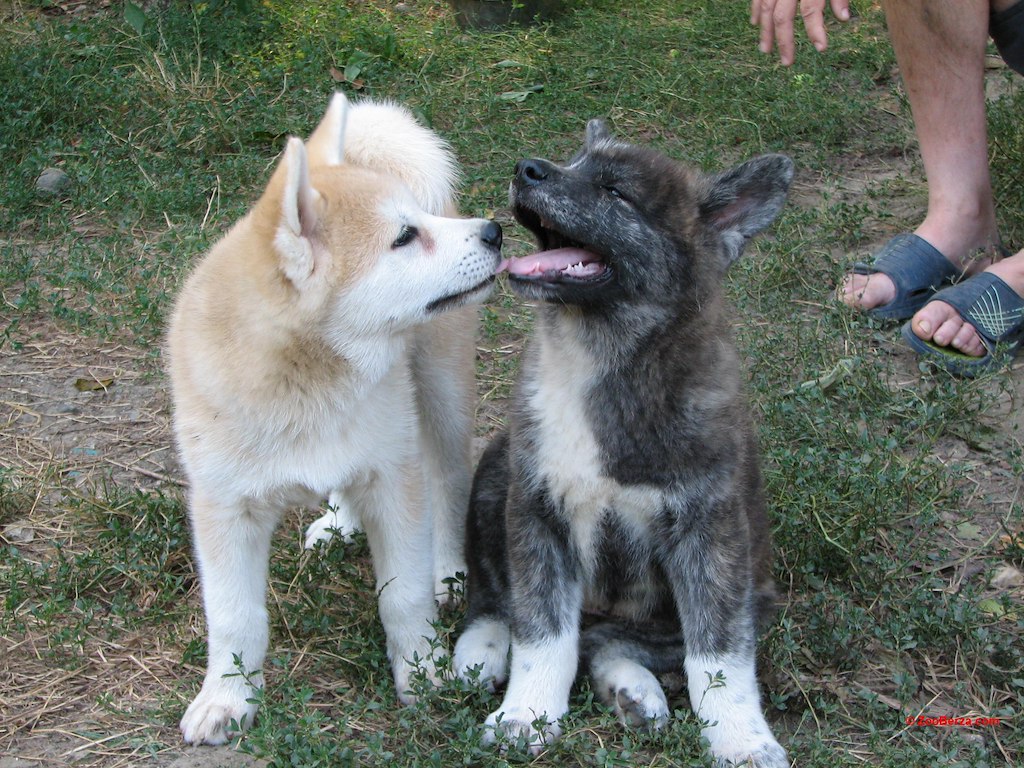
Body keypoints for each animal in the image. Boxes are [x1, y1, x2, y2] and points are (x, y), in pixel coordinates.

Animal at [167, 90, 503, 745]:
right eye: (404, 236)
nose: (496, 230)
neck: (308, 383)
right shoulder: (224, 508)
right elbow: (235, 616)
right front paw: (228, 696)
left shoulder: (395, 482)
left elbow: (404, 597)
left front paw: (421, 673)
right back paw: (339, 520)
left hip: (441, 396)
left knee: (448, 481)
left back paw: (449, 568)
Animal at [452, 121, 794, 768]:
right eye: (572, 160)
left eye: (615, 192)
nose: (527, 168)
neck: (602, 357)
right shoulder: (535, 512)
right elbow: (541, 634)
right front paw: (526, 715)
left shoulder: (711, 537)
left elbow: (717, 658)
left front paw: (741, 738)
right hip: (493, 472)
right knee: (499, 600)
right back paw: (479, 651)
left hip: (751, 599)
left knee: (613, 643)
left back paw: (634, 690)